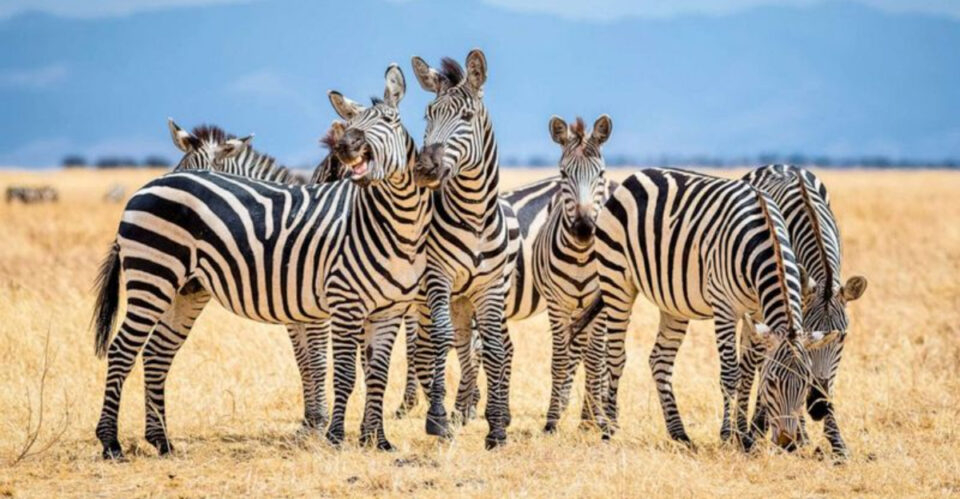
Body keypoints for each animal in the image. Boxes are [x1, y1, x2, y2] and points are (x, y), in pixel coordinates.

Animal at [90, 64, 429, 458]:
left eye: (390, 120)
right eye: (353, 123)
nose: (347, 147)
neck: (393, 222)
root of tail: (142, 190)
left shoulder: (383, 309)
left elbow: (373, 371)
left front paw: (375, 440)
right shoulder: (337, 304)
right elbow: (333, 368)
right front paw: (329, 434)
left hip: (185, 290)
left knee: (157, 353)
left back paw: (161, 440)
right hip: (153, 277)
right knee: (122, 351)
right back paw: (111, 443)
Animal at [408, 50, 513, 449]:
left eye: (466, 118)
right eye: (428, 115)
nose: (425, 169)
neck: (475, 216)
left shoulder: (489, 288)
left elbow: (494, 348)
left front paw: (496, 427)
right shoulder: (437, 278)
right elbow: (440, 341)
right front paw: (437, 418)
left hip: (463, 300)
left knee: (470, 347)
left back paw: (467, 409)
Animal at [535, 115, 616, 433]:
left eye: (601, 173)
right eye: (563, 173)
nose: (583, 229)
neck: (582, 256)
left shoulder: (602, 306)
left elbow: (594, 361)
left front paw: (597, 421)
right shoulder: (557, 305)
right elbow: (560, 359)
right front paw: (551, 420)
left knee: (599, 356)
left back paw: (593, 415)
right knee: (574, 352)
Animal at [571, 168, 818, 450]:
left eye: (807, 384)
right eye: (773, 383)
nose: (788, 443)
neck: (765, 240)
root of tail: (634, 177)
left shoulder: (755, 313)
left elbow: (747, 373)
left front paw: (744, 437)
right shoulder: (724, 308)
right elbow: (731, 374)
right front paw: (727, 435)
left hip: (673, 302)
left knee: (660, 360)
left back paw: (679, 433)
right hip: (617, 280)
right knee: (615, 355)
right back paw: (610, 429)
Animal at [738, 164, 867, 456]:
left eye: (842, 337)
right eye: (808, 329)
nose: (818, 407)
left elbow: (825, 381)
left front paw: (837, 443)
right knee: (753, 360)